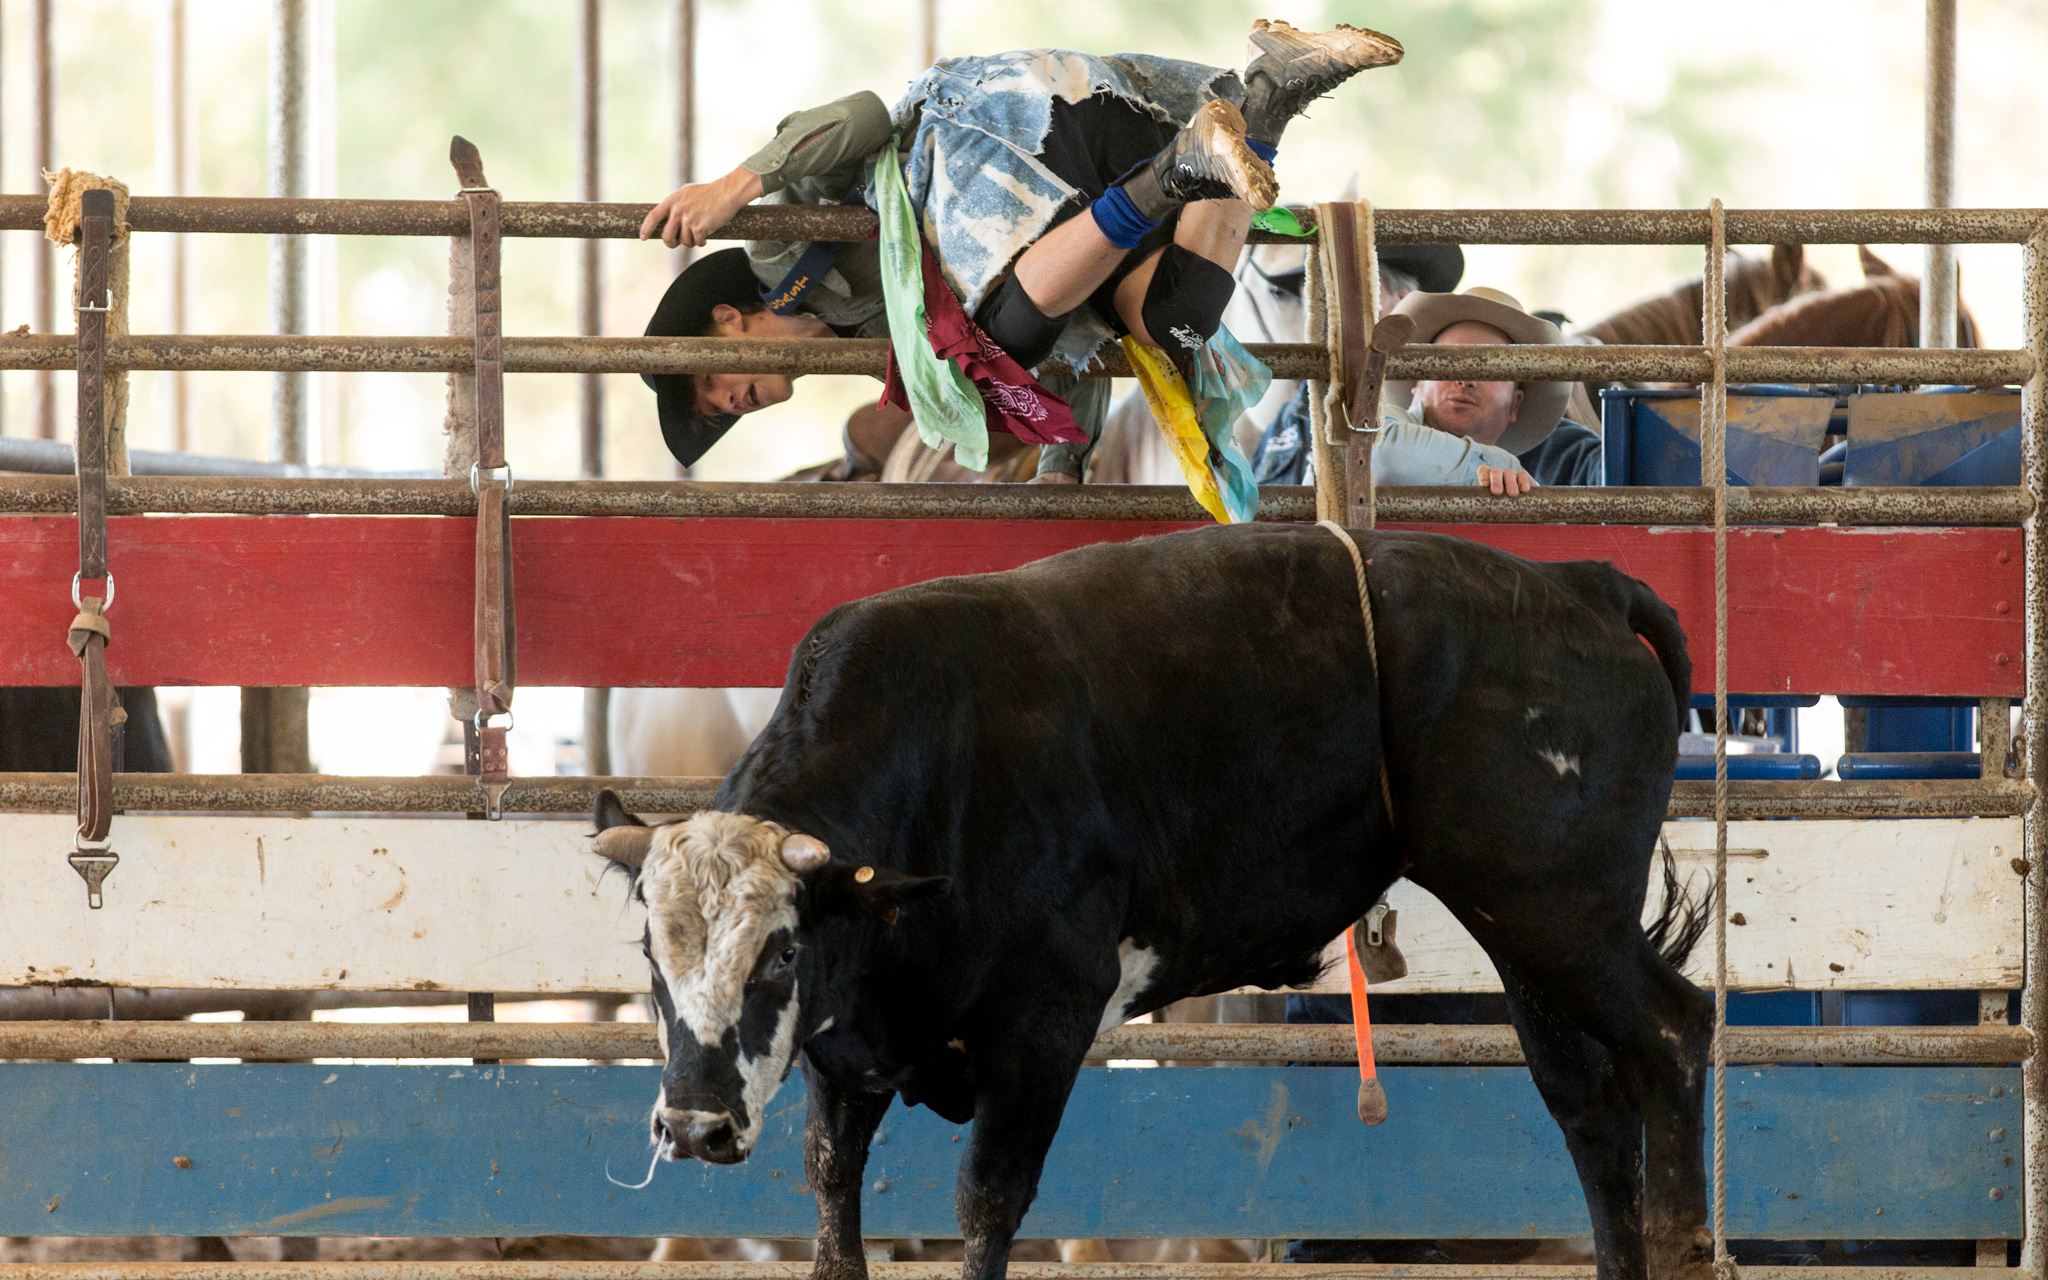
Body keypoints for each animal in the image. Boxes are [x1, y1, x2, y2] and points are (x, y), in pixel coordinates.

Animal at [590, 521, 1712, 1280]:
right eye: (649, 955)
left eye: (782, 952)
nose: (693, 1126)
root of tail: (1579, 584)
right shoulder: (850, 1048)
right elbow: (831, 1197)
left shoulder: (1046, 1020)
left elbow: (985, 1200)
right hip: (1526, 927)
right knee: (1587, 1107)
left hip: (1561, 912)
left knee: (1673, 1031)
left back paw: (1688, 1239)